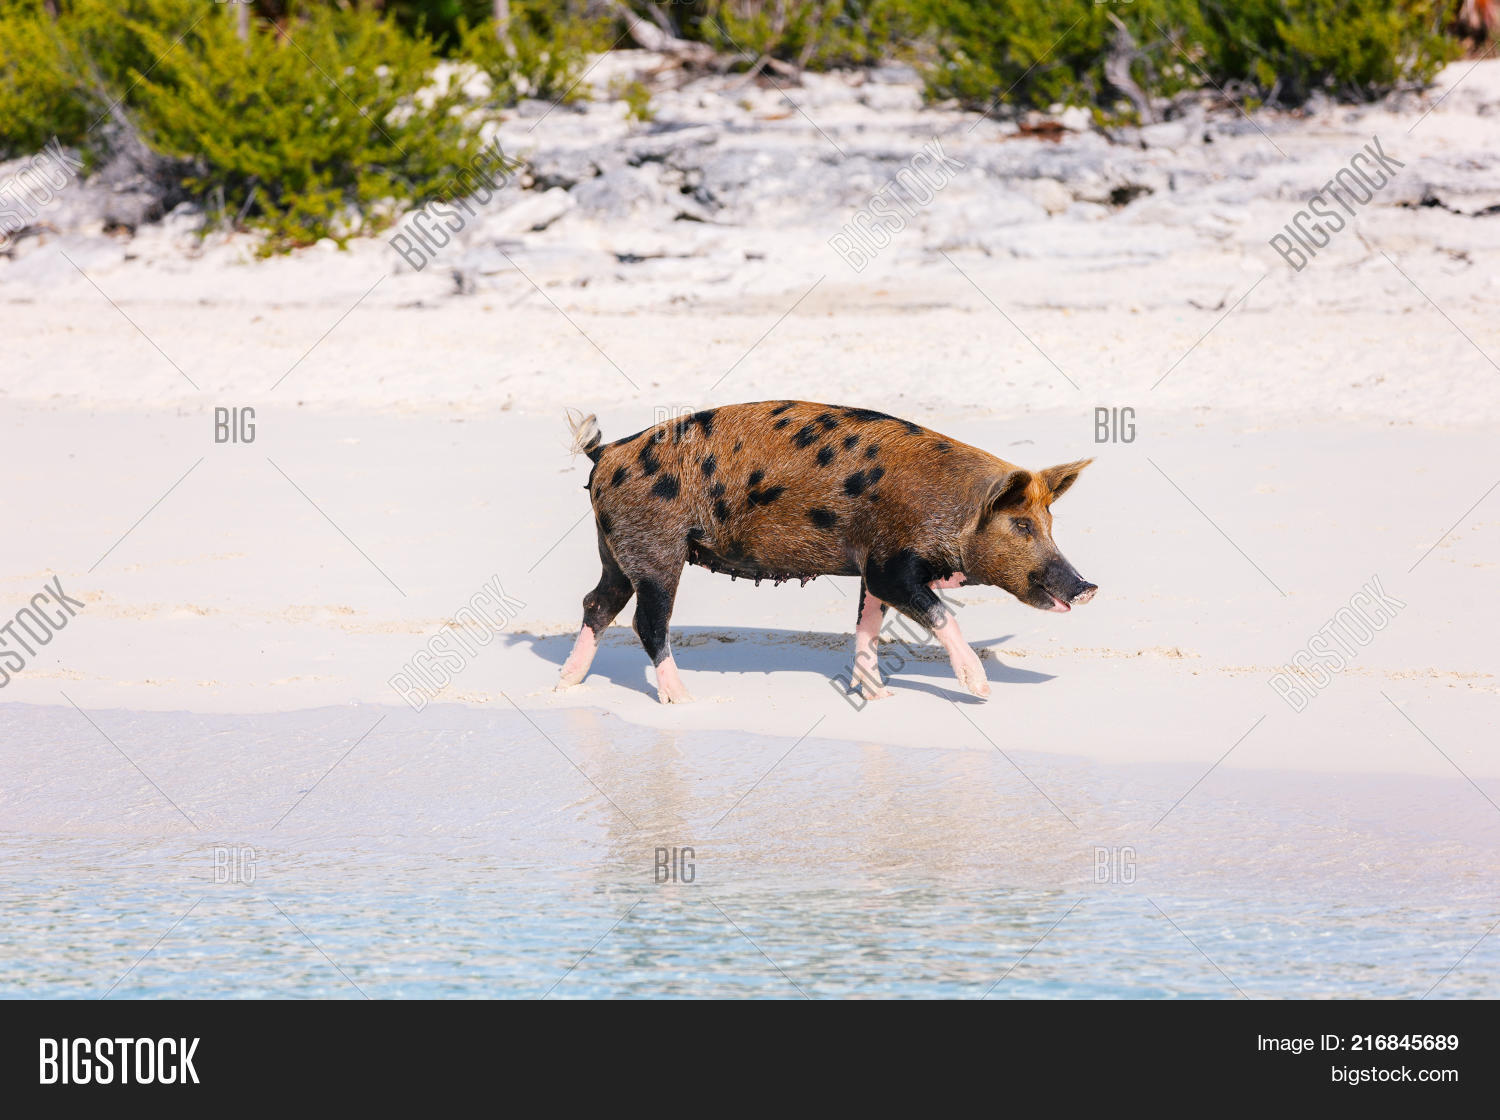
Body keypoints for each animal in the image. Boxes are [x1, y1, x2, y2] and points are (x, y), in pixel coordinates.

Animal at [555, 401, 1096, 704]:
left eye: (1050, 523)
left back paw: (566, 685)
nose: (1087, 586)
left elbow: (868, 625)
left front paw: (880, 697)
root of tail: (608, 453)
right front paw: (981, 690)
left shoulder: (872, 566)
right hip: (655, 549)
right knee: (647, 622)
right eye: (1022, 524)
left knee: (596, 603)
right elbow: (941, 614)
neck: (953, 509)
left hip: (614, 549)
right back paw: (686, 700)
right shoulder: (891, 568)